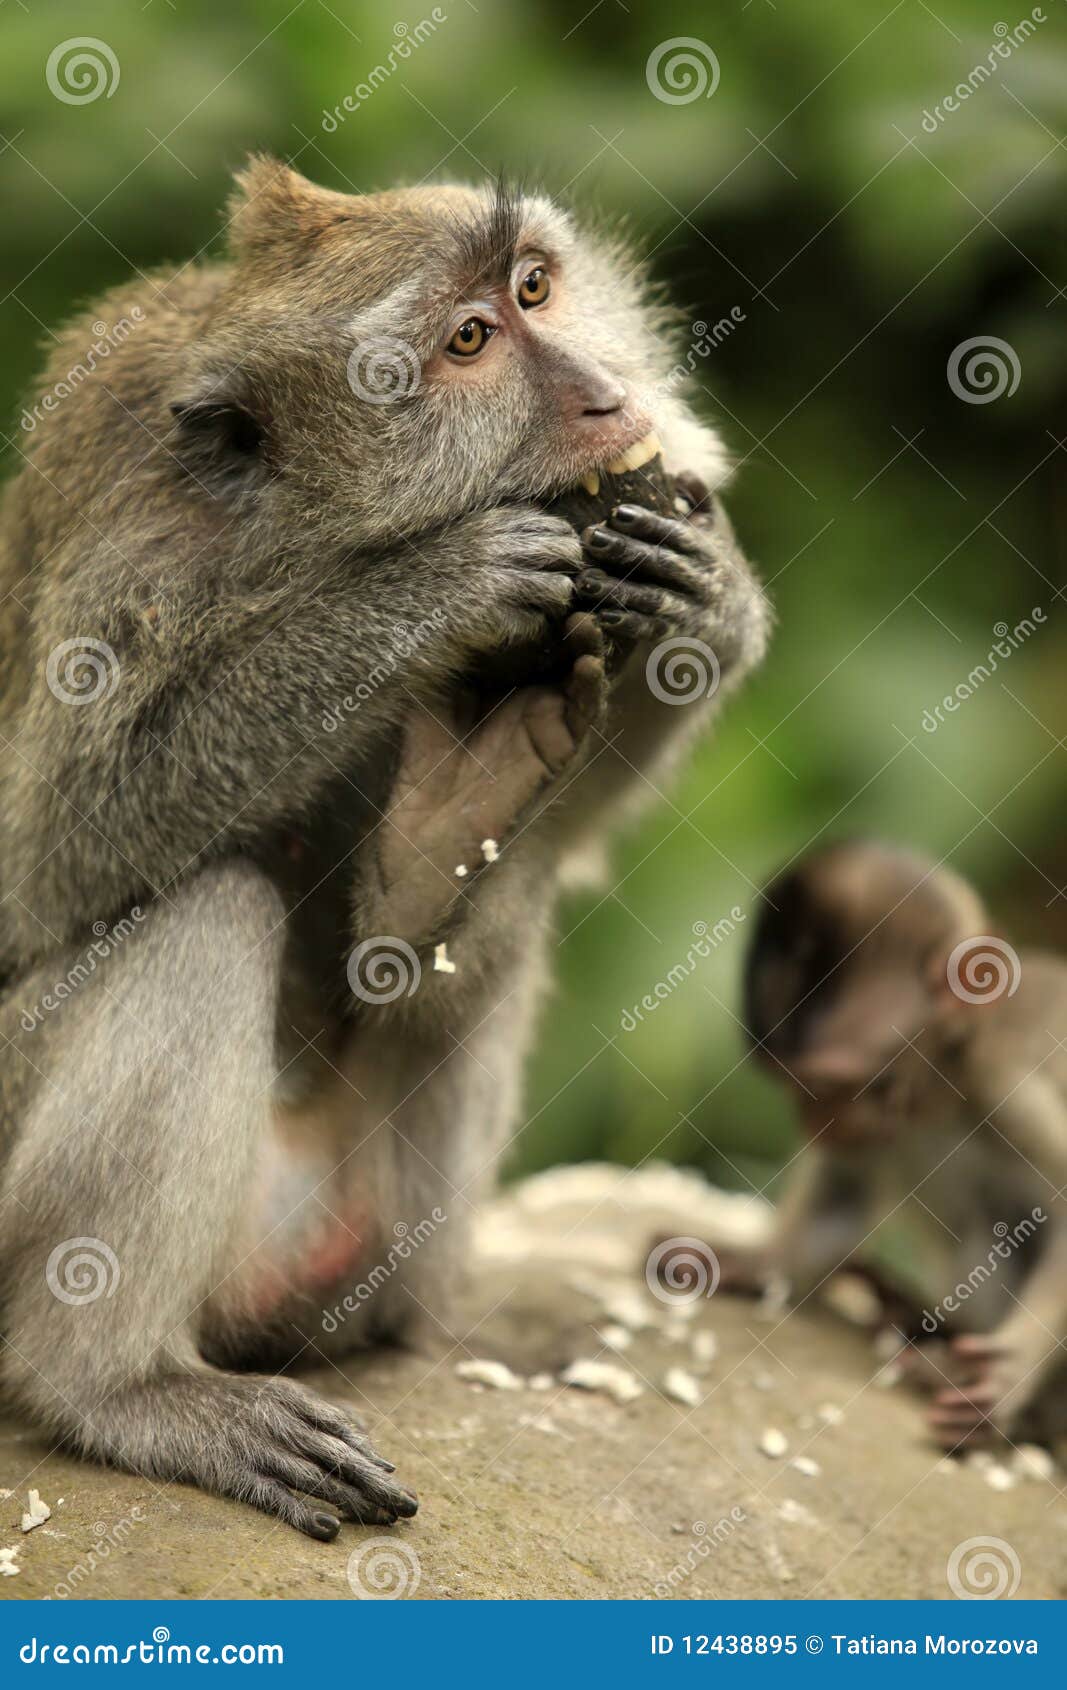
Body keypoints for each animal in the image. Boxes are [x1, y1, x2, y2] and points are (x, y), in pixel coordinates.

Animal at [0, 159, 769, 1536]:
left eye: (534, 288)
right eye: (467, 343)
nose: (605, 393)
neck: (309, 528)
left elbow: (579, 823)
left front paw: (711, 590)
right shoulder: (128, 514)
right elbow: (50, 846)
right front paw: (430, 591)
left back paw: (441, 843)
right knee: (204, 914)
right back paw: (115, 1384)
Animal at [729, 838, 1067, 1451]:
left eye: (833, 1085)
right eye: (788, 1086)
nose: (815, 1125)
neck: (939, 1097)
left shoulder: (1011, 1091)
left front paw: (1002, 1385)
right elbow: (844, 1193)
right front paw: (755, 1261)